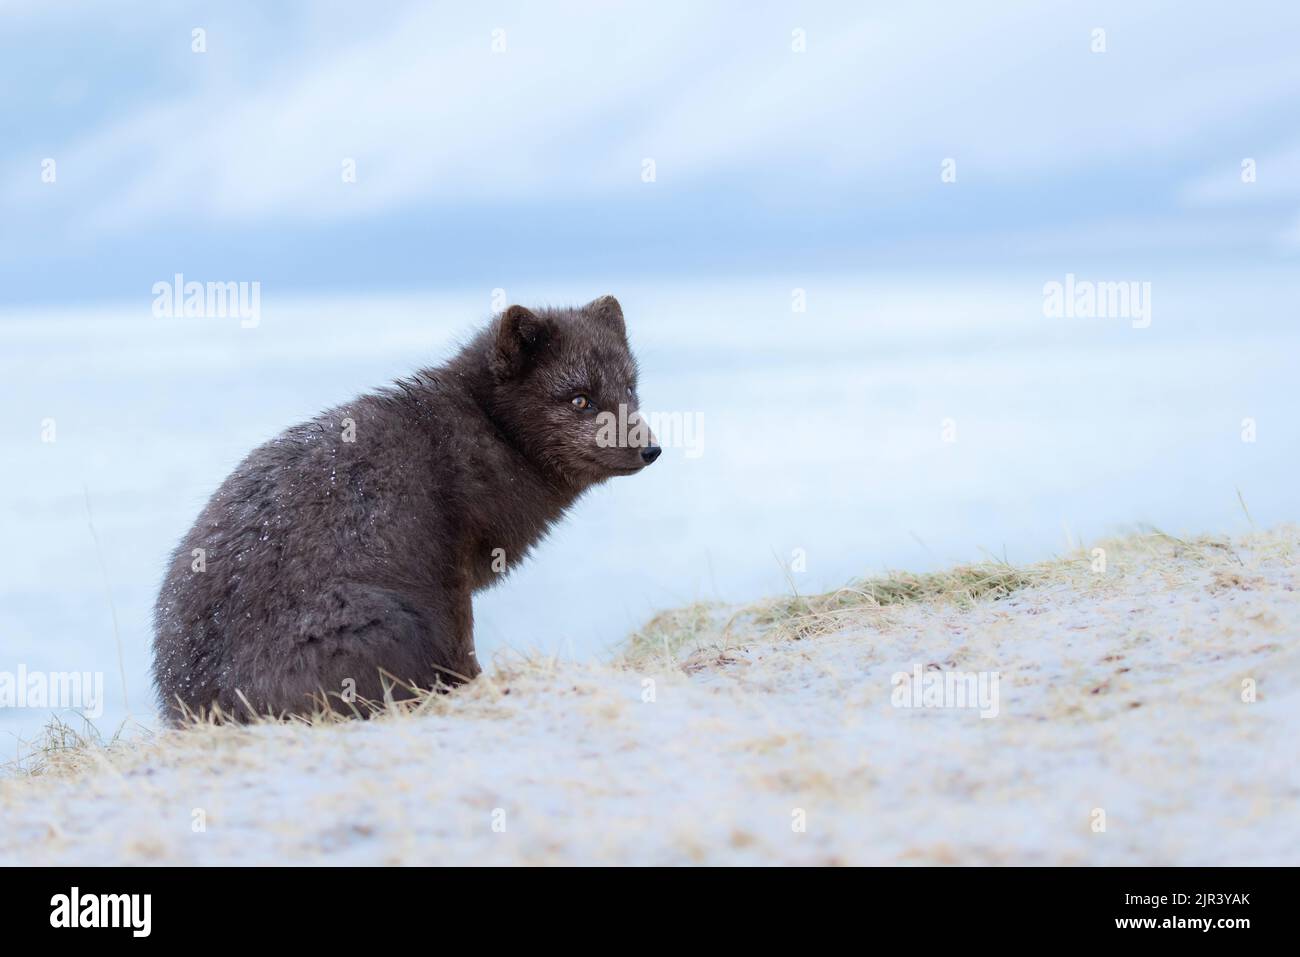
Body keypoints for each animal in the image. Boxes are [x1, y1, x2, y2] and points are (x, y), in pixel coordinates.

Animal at [152, 296, 658, 722]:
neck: (489, 431)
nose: (651, 449)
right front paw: (474, 690)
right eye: (581, 399)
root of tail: (190, 702)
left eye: (631, 390)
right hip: (386, 618)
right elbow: (460, 644)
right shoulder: (447, 570)